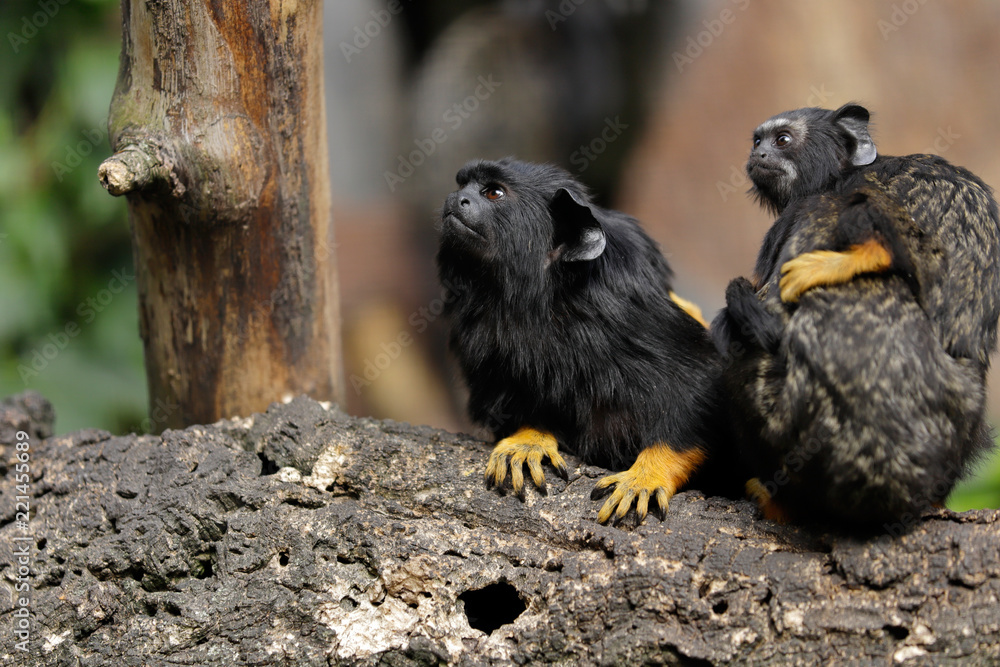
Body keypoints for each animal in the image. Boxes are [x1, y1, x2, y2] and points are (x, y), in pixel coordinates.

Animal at [437, 158, 722, 525]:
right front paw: (528, 439)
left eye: (493, 193)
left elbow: (699, 384)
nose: (456, 199)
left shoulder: (629, 315)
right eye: (463, 185)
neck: (545, 300)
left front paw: (648, 473)